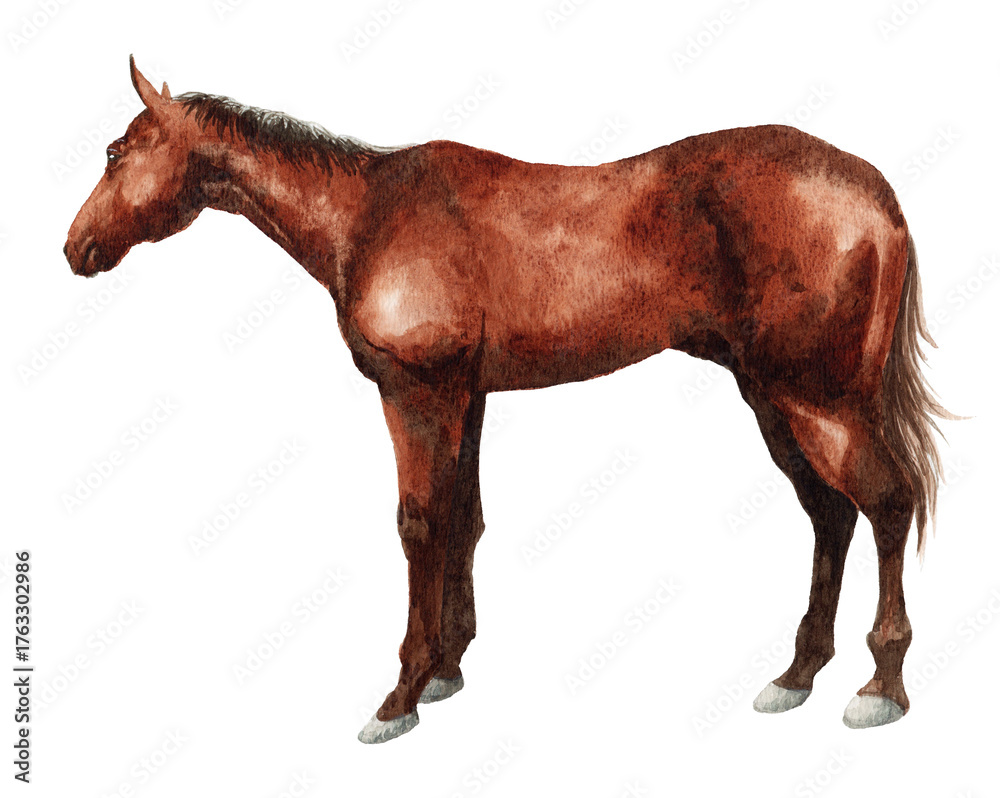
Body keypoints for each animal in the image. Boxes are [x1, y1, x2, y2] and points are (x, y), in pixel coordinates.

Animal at [65, 57, 951, 744]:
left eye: (114, 151)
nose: (76, 249)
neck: (370, 213)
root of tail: (877, 196)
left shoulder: (417, 394)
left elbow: (421, 525)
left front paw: (399, 695)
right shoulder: (469, 397)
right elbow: (465, 519)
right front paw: (446, 669)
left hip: (817, 400)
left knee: (885, 502)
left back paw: (880, 688)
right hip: (771, 399)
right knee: (831, 515)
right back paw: (797, 673)